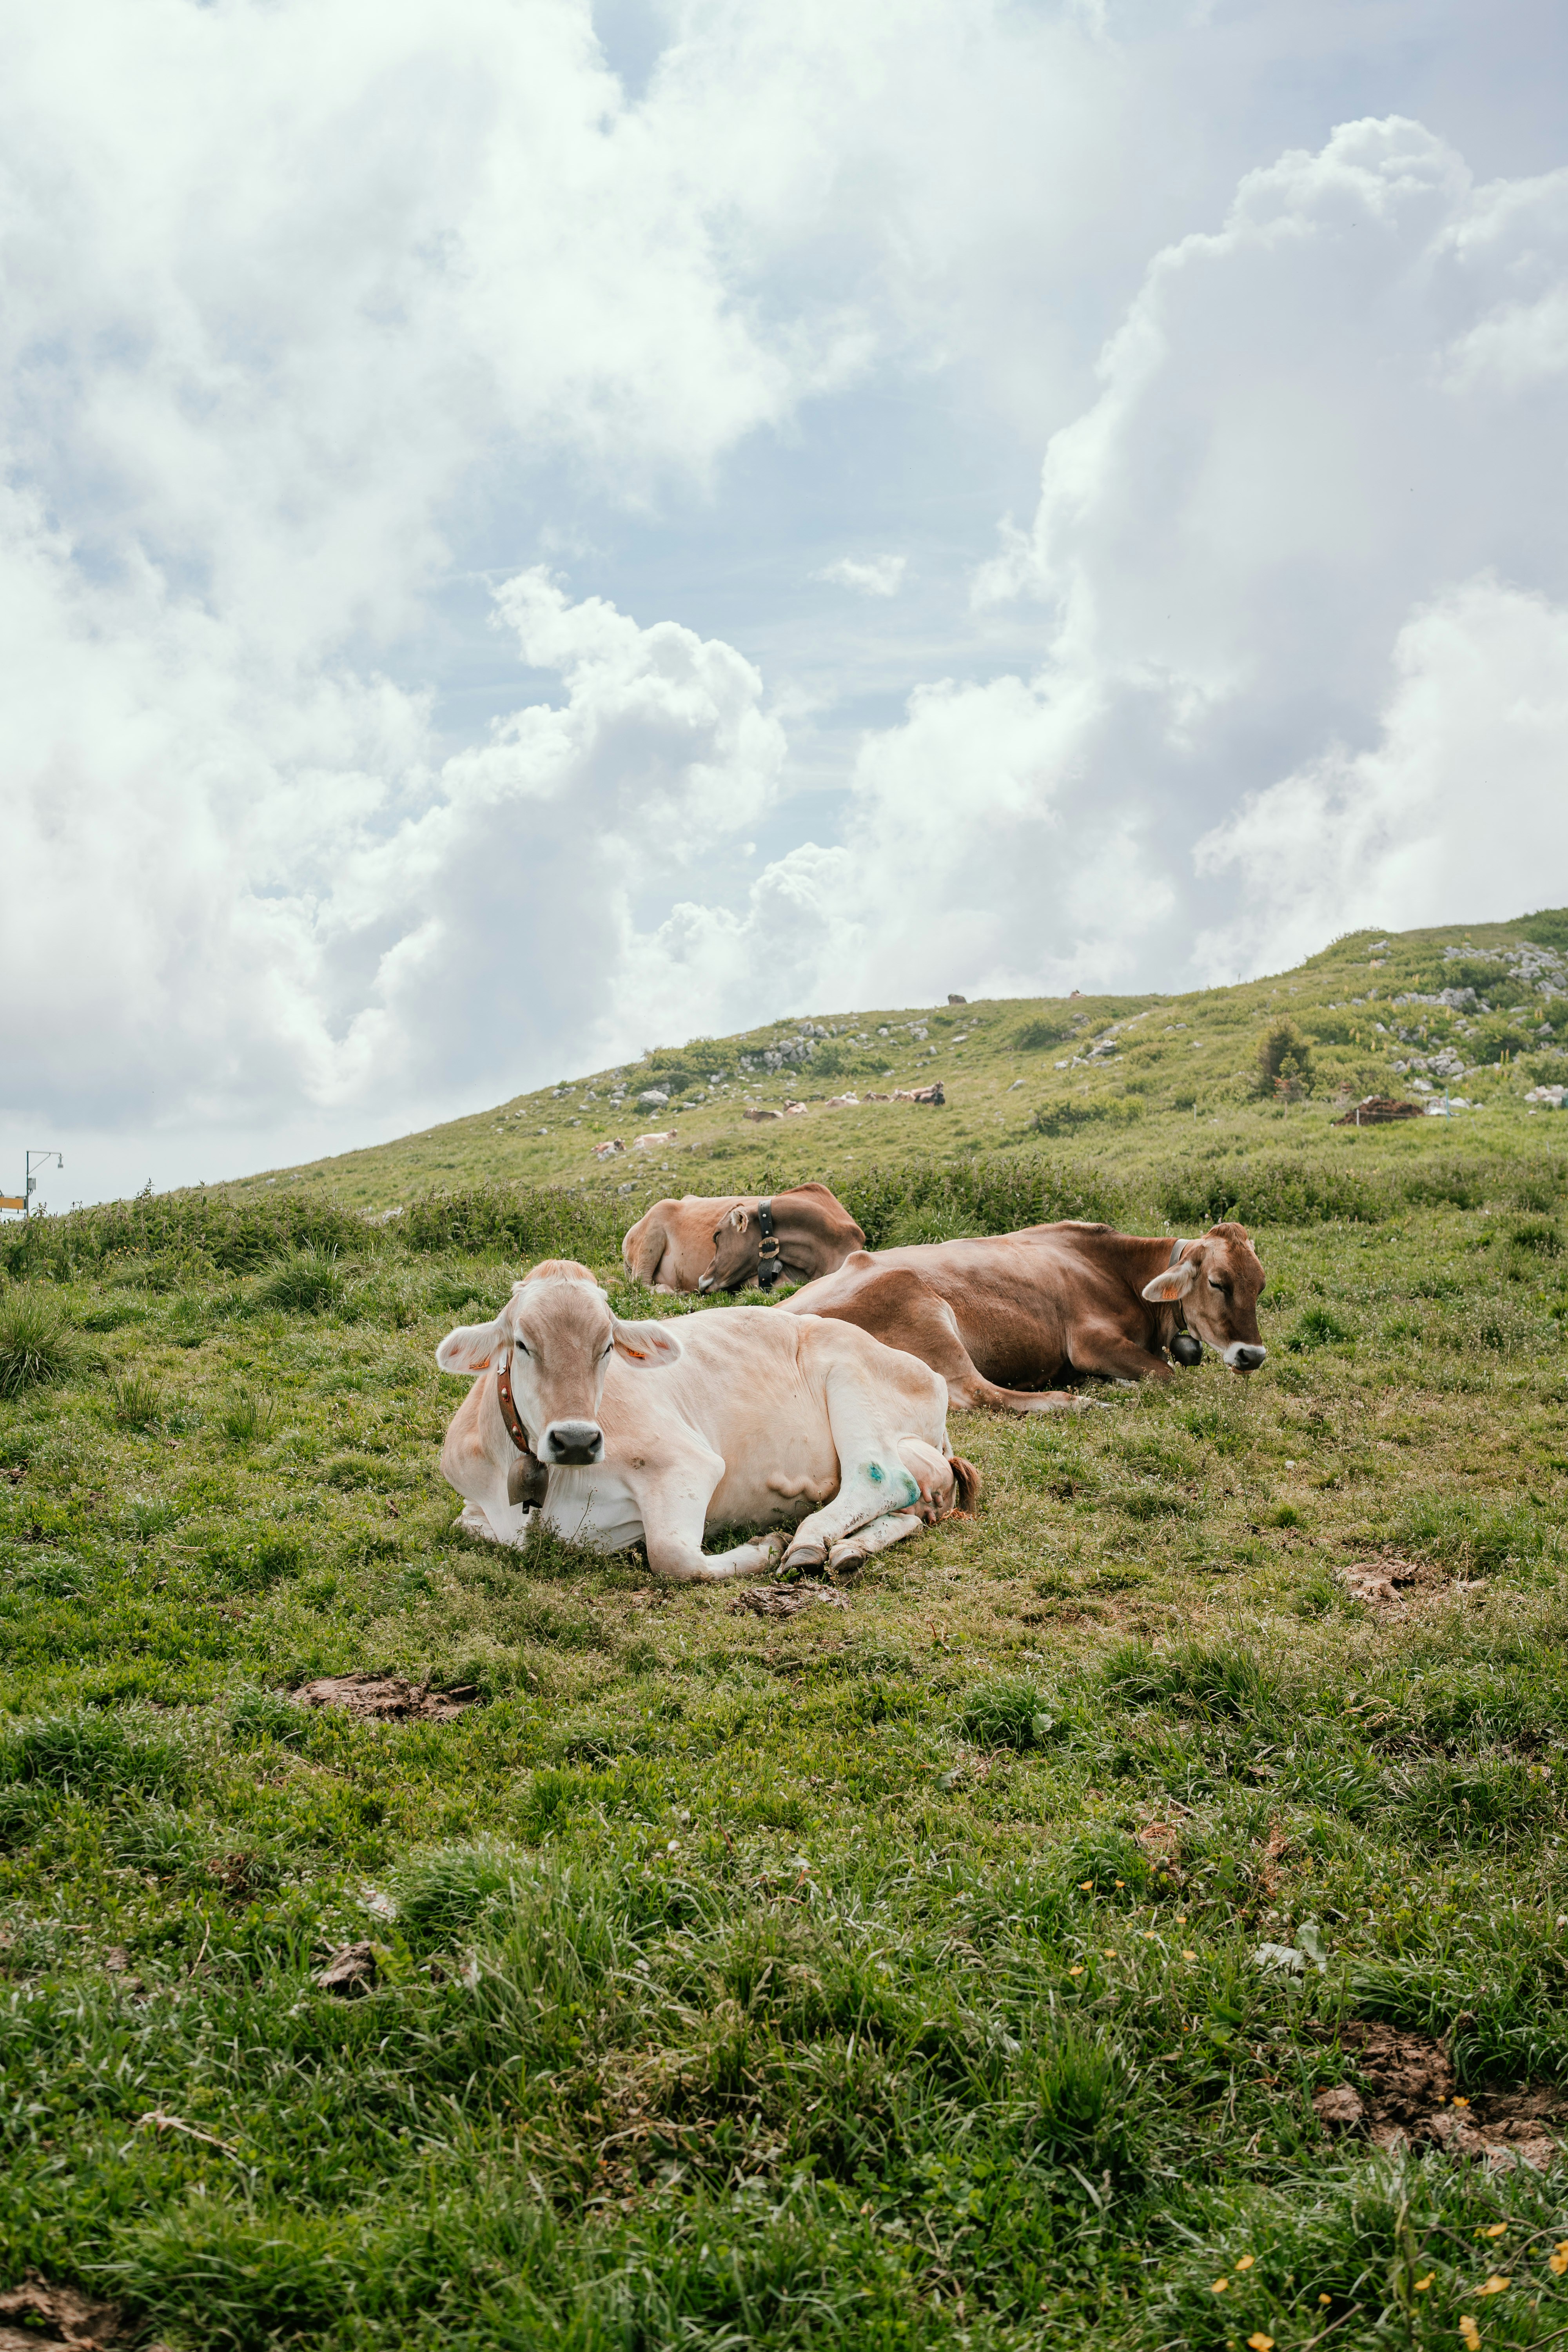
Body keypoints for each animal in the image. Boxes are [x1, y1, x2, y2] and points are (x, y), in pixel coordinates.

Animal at [435, 1258, 979, 1581]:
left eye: (607, 1346)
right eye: (522, 1345)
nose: (575, 1440)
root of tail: (926, 1371)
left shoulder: (685, 1463)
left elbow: (674, 1558)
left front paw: (765, 1548)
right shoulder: (473, 1508)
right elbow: (470, 1528)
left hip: (850, 1373)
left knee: (882, 1477)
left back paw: (805, 1542)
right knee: (909, 1510)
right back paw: (848, 1551)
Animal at [780, 1221, 1267, 1412]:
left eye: (1259, 1285)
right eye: (1218, 1283)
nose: (1254, 1355)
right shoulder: (1089, 1341)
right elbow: (1164, 1373)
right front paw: (1115, 1383)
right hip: (923, 1311)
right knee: (977, 1393)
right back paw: (1081, 1402)